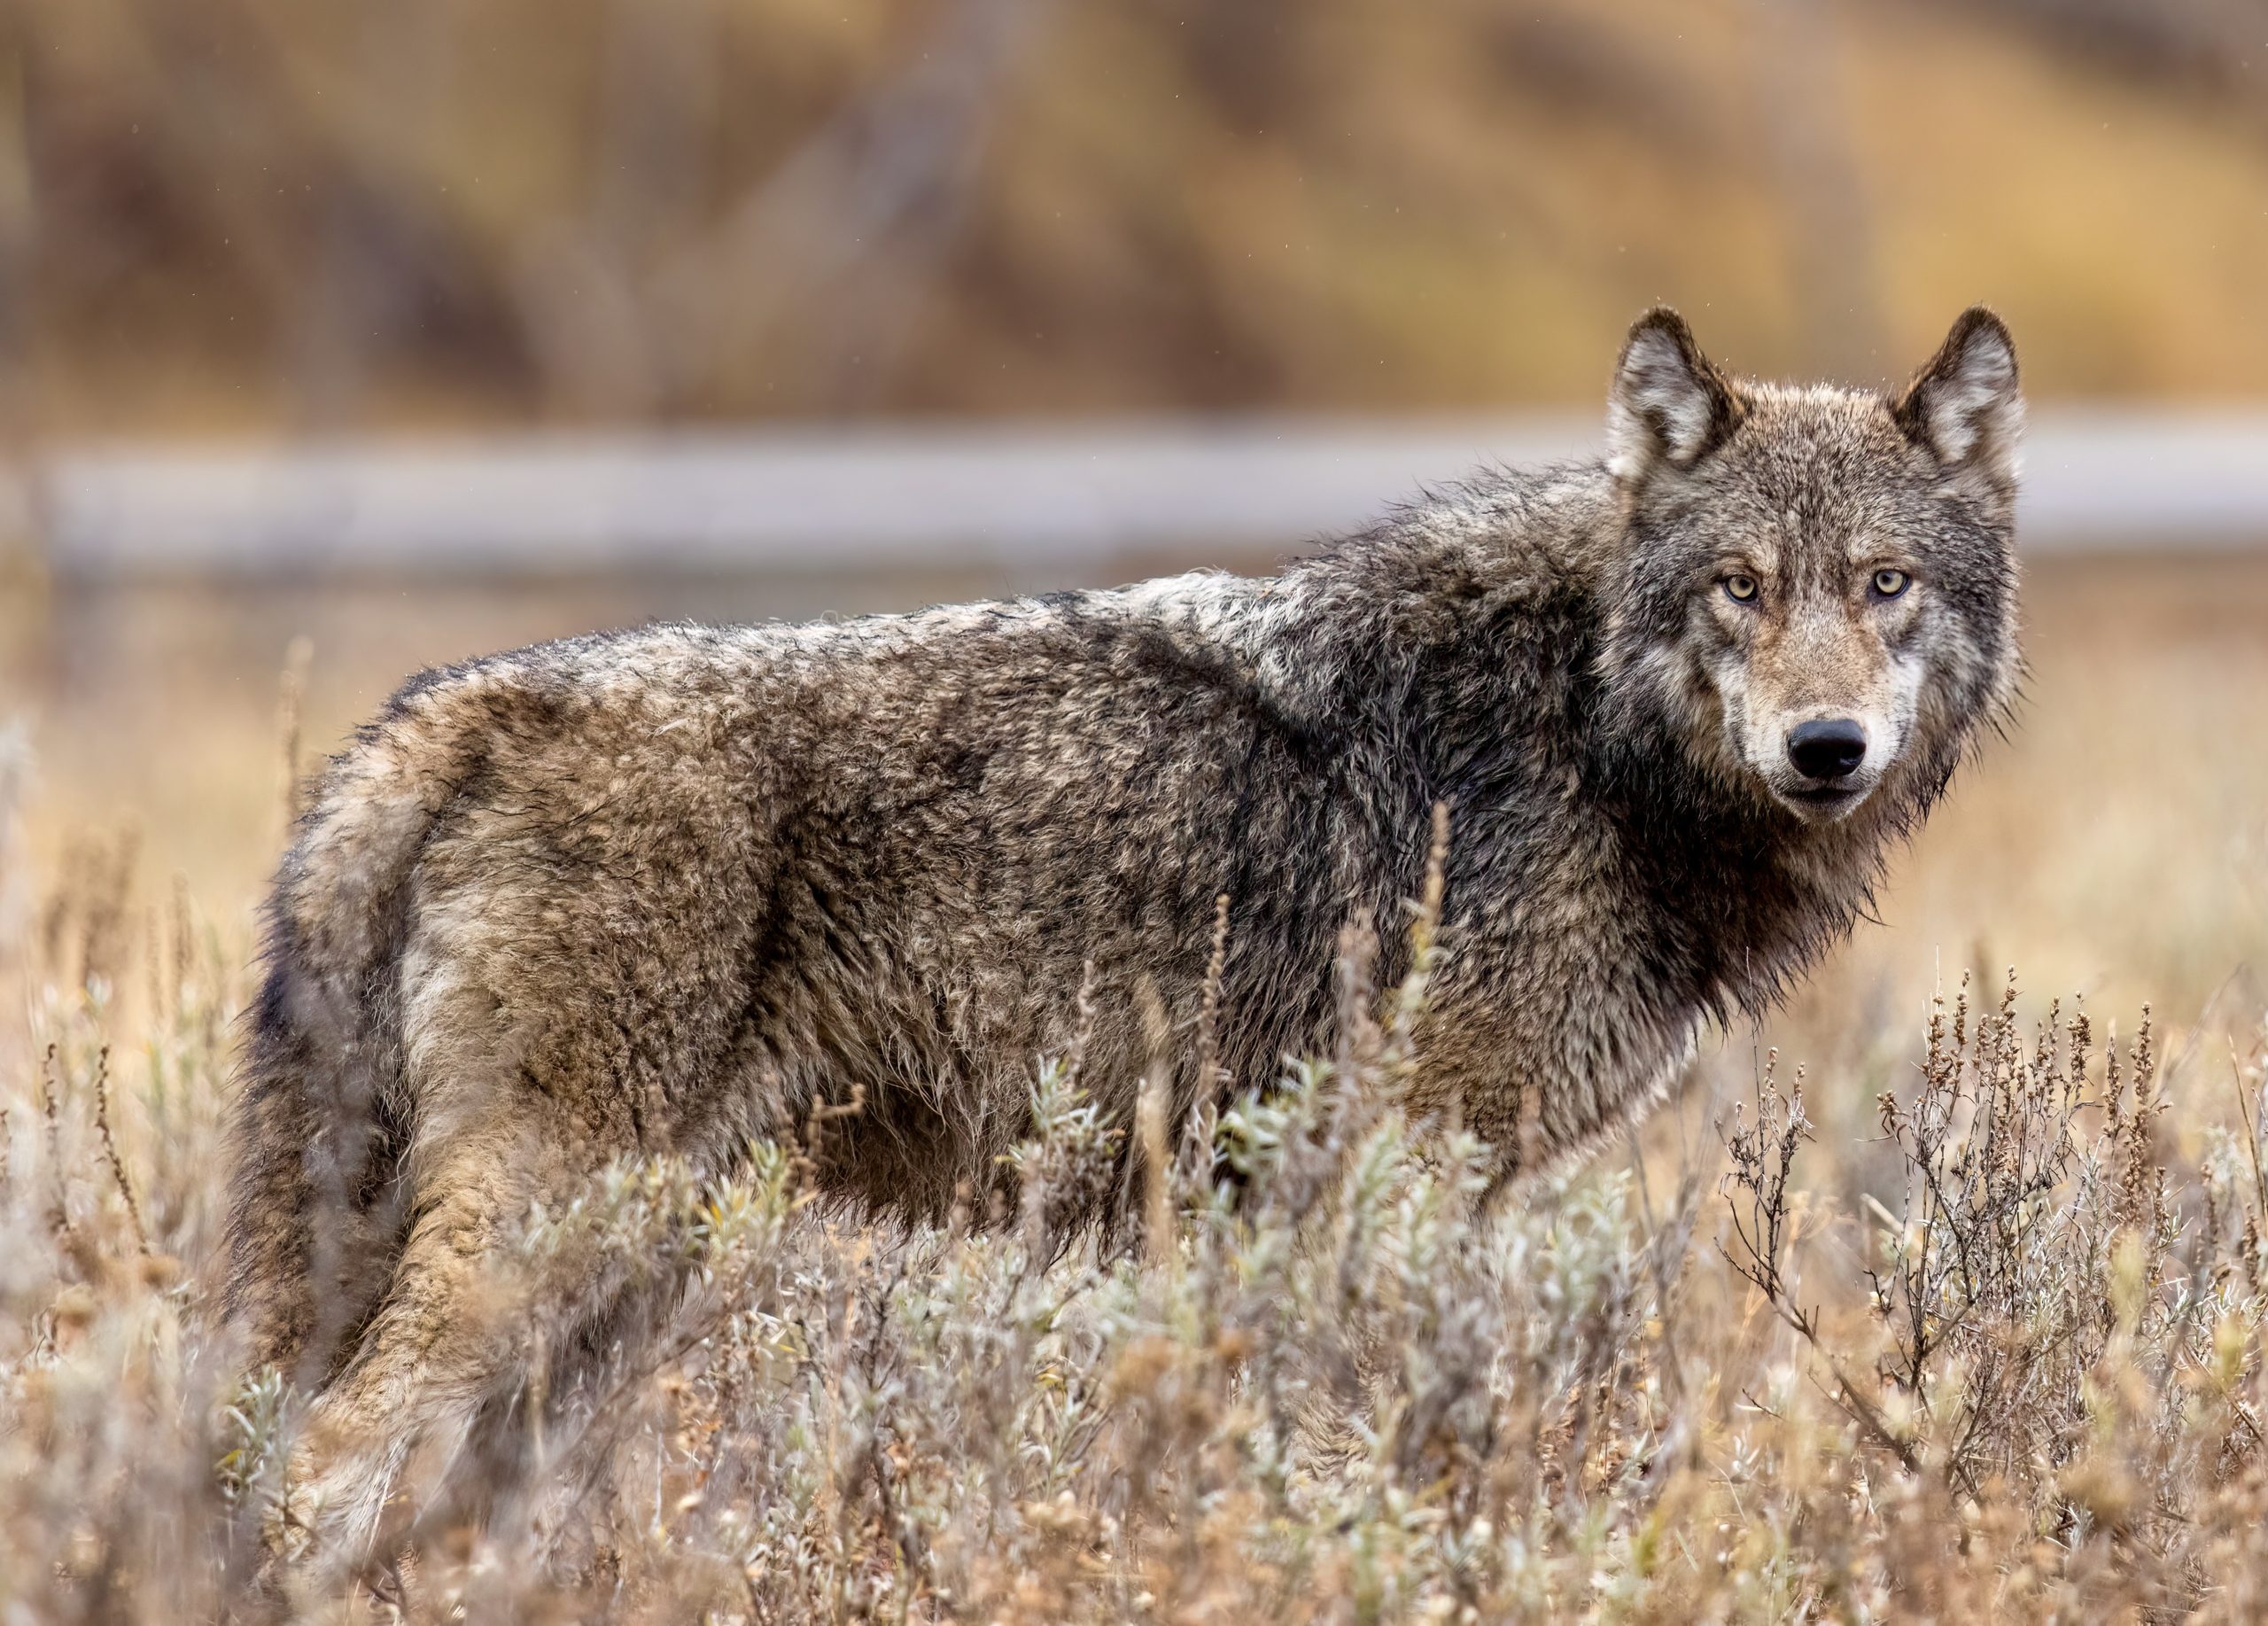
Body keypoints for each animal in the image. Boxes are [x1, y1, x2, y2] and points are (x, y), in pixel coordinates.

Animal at [225, 306, 2021, 1570]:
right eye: (1740, 586)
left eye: (1883, 585)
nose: (1827, 750)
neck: (1587, 722)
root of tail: (455, 707)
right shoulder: (1398, 1172)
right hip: (549, 1240)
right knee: (320, 1463)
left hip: (606, 1291)